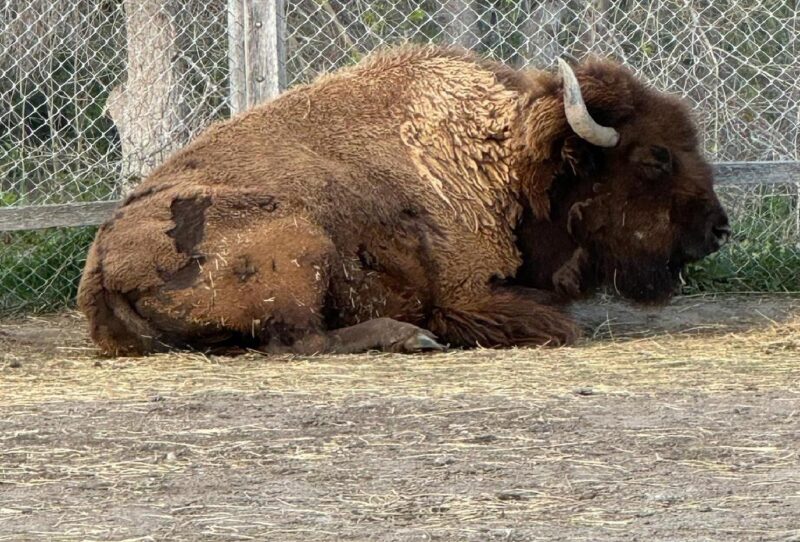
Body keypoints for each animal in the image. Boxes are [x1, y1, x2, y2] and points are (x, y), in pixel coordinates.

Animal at [78, 45, 729, 355]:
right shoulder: (468, 296)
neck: (506, 160)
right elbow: (559, 324)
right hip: (300, 238)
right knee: (299, 342)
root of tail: (102, 262)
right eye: (655, 157)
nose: (717, 231)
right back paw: (408, 335)